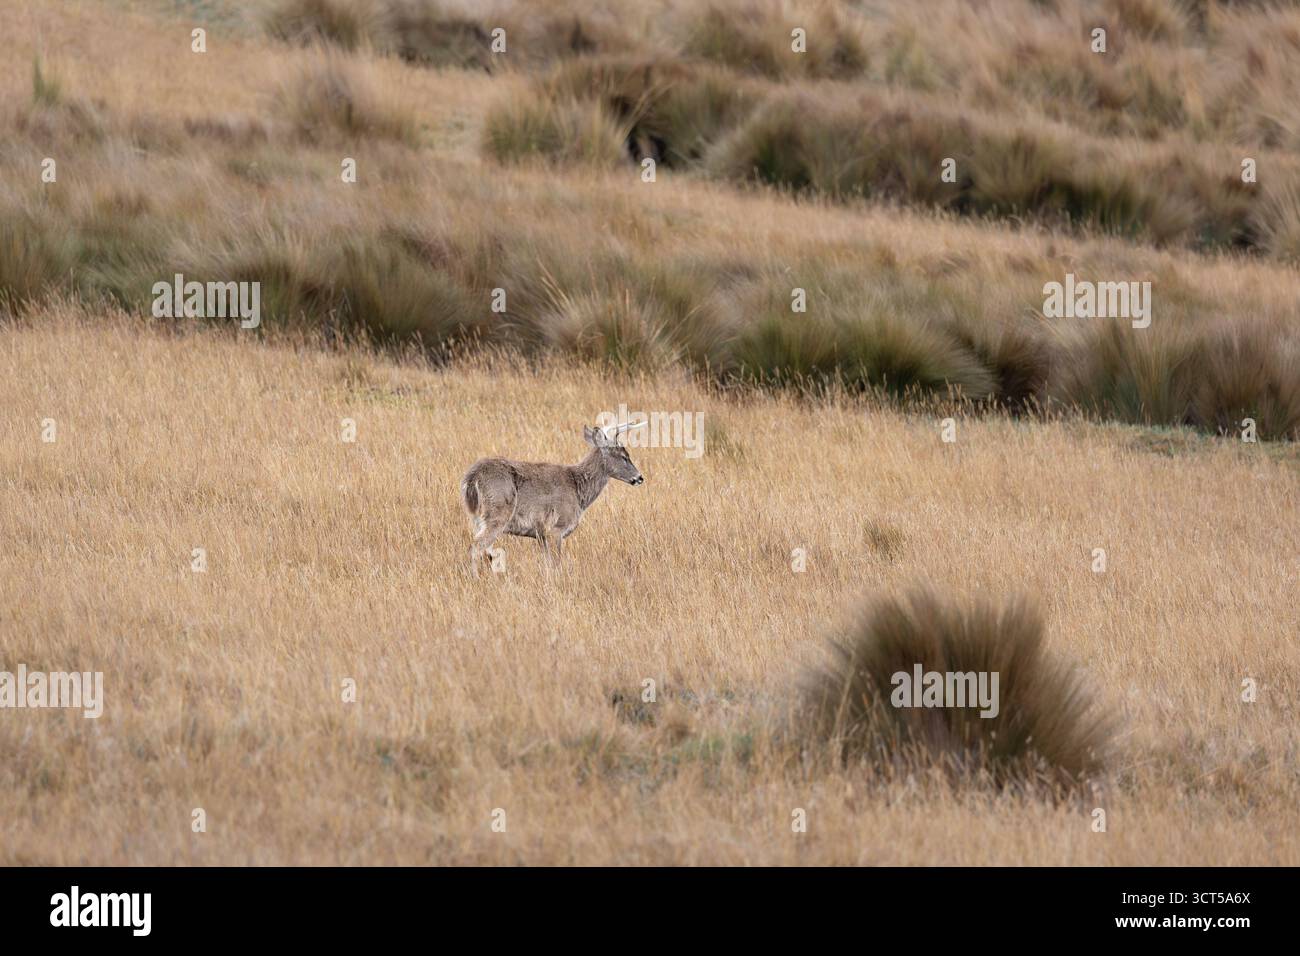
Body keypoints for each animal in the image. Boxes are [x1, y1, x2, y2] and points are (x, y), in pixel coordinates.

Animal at [461, 422, 646, 575]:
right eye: (624, 456)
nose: (639, 477)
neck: (578, 488)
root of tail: (471, 478)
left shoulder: (541, 535)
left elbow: (547, 563)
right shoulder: (556, 528)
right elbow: (556, 562)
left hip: (476, 518)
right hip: (497, 514)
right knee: (476, 546)